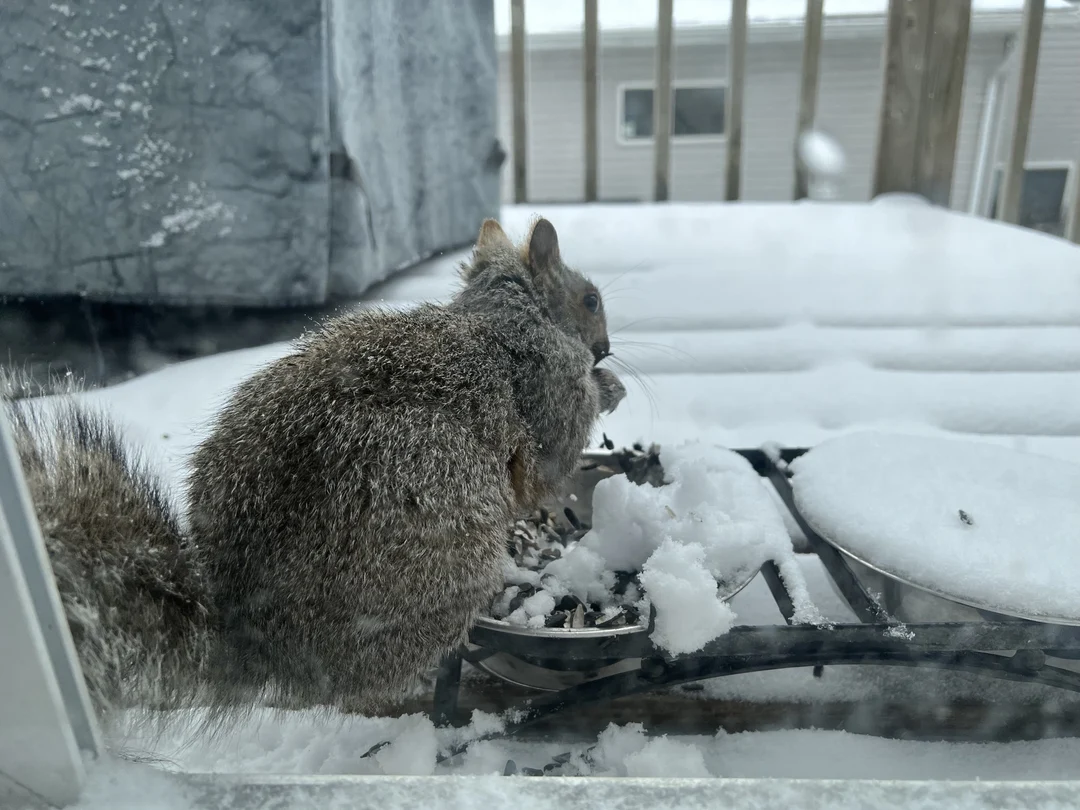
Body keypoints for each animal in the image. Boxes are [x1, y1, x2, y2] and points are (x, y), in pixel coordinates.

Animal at [4, 216, 626, 731]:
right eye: (591, 299)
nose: (605, 347)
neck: (504, 316)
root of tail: (260, 640)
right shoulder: (548, 388)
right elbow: (551, 462)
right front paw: (610, 389)